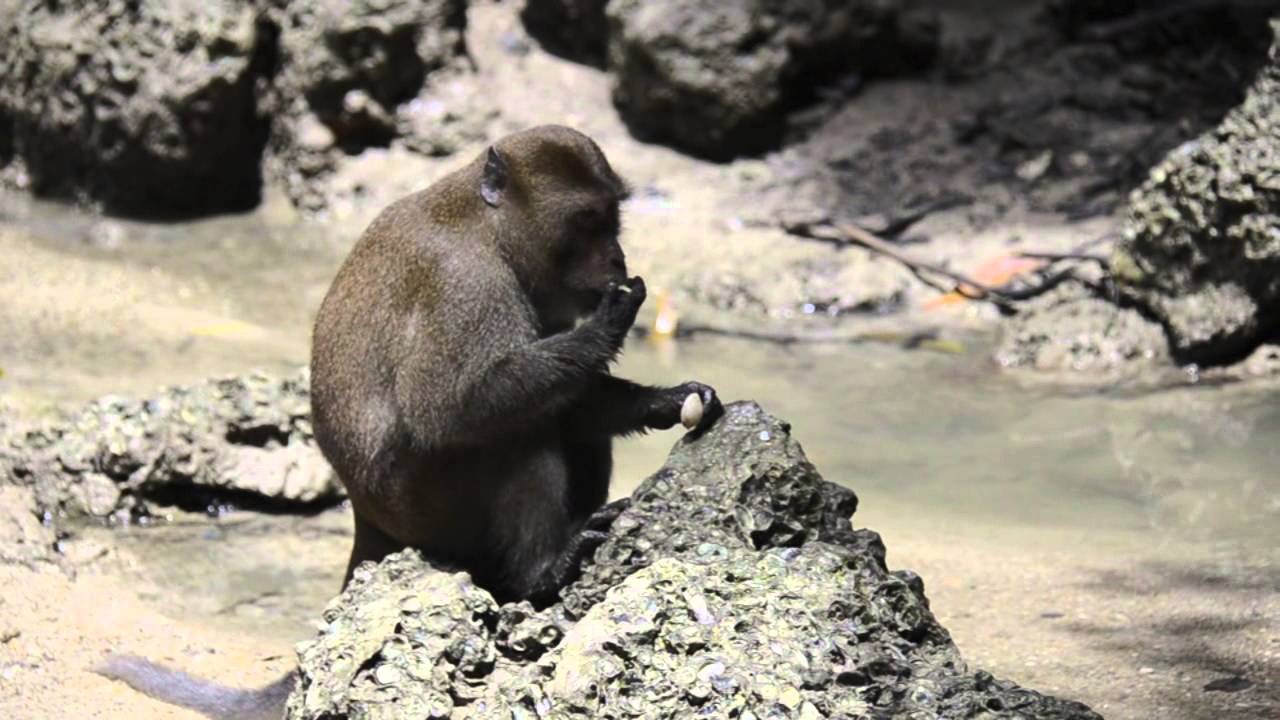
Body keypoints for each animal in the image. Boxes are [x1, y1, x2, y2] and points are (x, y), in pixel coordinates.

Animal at [96, 125, 723, 719]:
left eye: (613, 218)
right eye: (587, 220)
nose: (617, 259)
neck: (489, 227)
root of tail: (365, 515)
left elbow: (567, 400)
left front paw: (667, 400)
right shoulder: (466, 285)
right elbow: (444, 408)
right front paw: (610, 324)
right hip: (425, 506)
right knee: (513, 435)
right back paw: (542, 571)